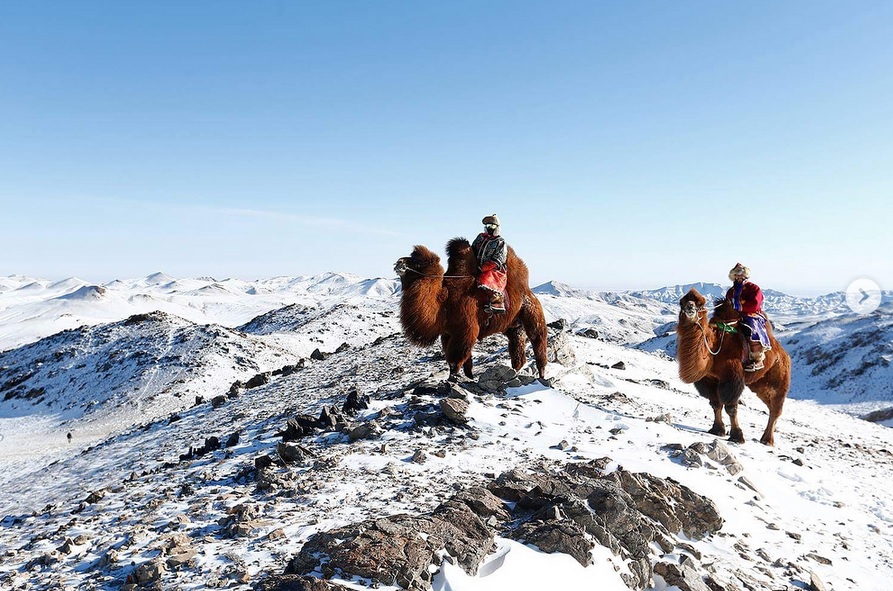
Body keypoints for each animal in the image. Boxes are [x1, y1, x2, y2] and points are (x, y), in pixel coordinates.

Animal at [394, 237, 548, 381]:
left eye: (418, 263)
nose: (398, 263)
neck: (444, 301)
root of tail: (528, 291)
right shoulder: (447, 334)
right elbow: (462, 362)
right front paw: (468, 377)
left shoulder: (466, 331)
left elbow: (456, 359)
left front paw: (454, 379)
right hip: (513, 326)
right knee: (518, 349)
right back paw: (514, 372)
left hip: (533, 315)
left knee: (537, 340)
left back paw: (541, 375)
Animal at [676, 288, 791, 445]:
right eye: (682, 301)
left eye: (700, 303)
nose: (689, 308)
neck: (715, 345)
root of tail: (785, 355)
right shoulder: (709, 379)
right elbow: (715, 404)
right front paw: (717, 429)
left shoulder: (731, 377)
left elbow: (731, 407)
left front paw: (737, 436)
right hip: (759, 383)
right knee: (771, 405)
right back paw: (764, 438)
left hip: (779, 380)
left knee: (776, 408)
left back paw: (768, 440)